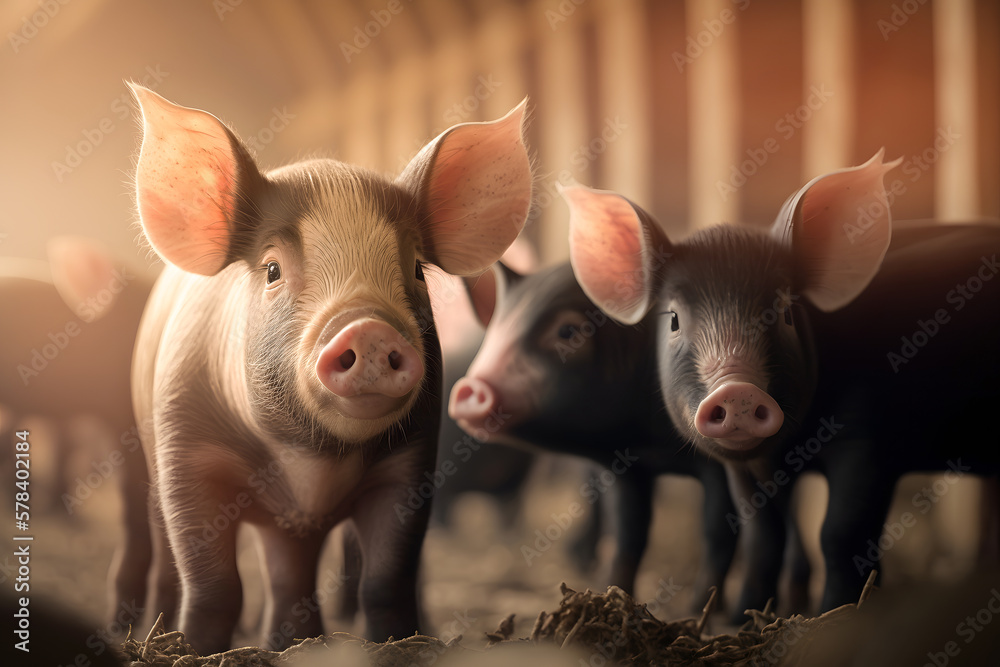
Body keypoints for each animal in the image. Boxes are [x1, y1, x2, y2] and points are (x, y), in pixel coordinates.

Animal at [126, 84, 532, 653]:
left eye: (416, 271)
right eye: (272, 269)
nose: (368, 328)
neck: (310, 461)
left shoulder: (410, 461)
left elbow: (386, 579)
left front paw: (393, 643)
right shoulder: (186, 445)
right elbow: (213, 582)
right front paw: (199, 647)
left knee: (292, 568)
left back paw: (295, 643)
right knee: (171, 554)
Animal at [447, 260, 810, 618]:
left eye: (568, 331)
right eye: (496, 328)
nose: (469, 388)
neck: (653, 444)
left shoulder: (718, 465)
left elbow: (717, 530)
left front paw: (701, 610)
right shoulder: (624, 467)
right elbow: (628, 532)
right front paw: (613, 592)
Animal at [562, 151, 1000, 612]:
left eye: (786, 314)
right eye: (675, 320)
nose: (736, 390)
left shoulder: (869, 442)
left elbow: (838, 534)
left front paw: (833, 615)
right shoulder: (745, 468)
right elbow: (763, 534)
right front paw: (741, 616)